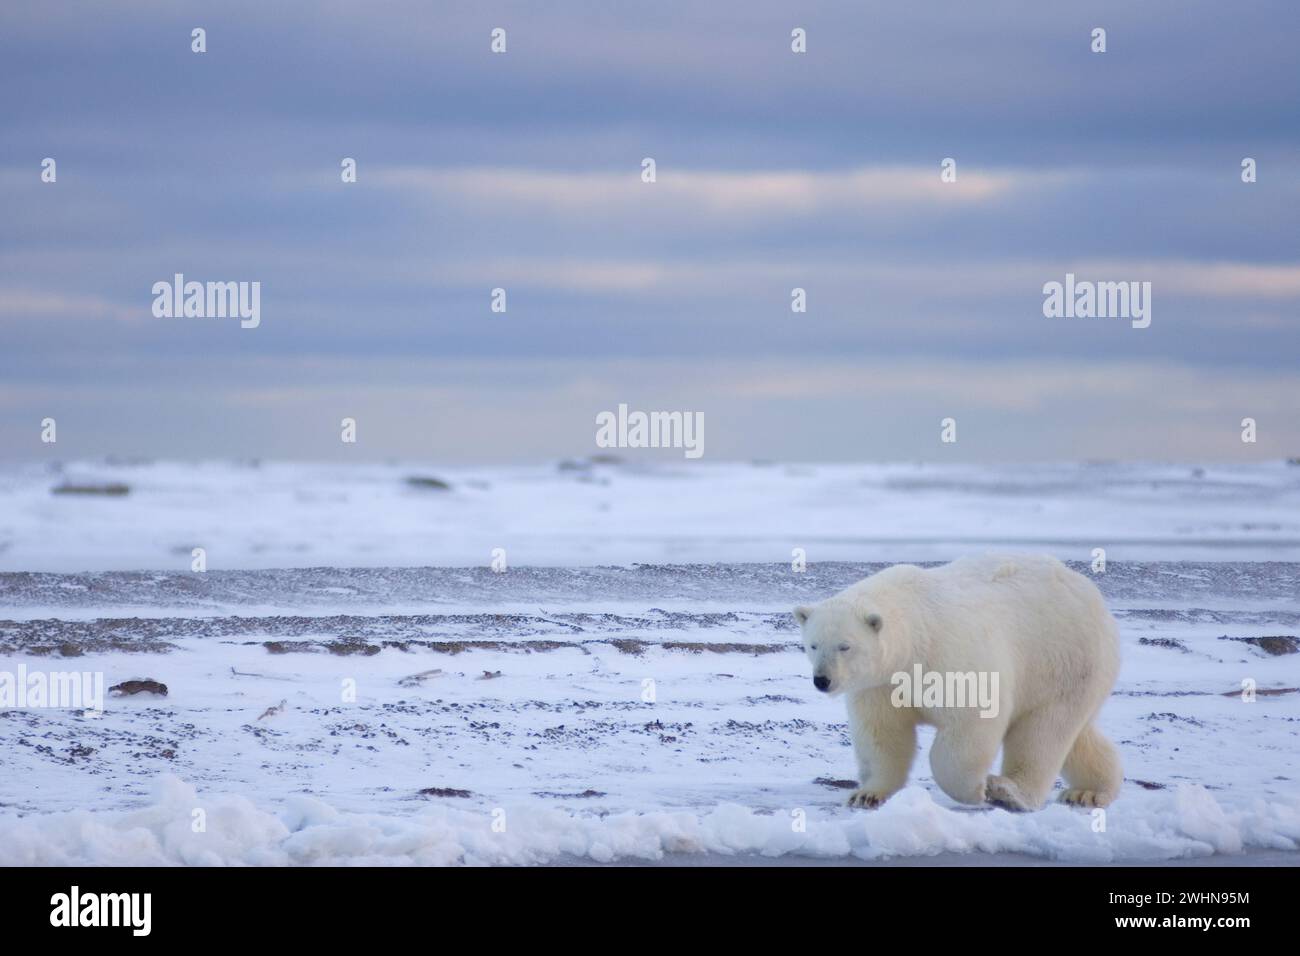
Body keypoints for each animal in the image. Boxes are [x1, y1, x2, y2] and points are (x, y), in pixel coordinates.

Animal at [794, 554, 1122, 812]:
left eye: (845, 646)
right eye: (813, 644)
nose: (822, 680)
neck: (915, 632)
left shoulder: (948, 657)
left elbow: (971, 719)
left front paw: (976, 790)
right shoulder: (880, 685)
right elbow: (882, 734)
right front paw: (868, 794)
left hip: (1061, 658)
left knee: (1042, 732)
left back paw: (1010, 791)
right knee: (1076, 736)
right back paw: (1088, 791)